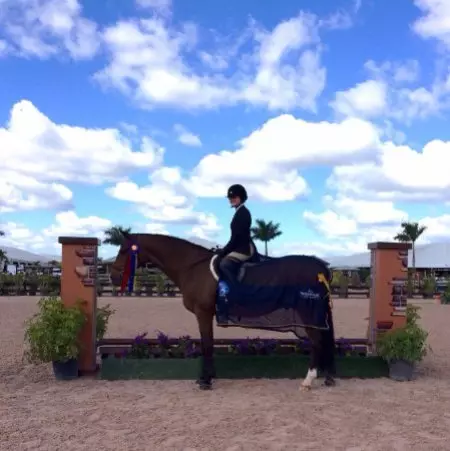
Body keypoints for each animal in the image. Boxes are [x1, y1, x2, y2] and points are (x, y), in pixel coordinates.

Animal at [108, 235, 334, 390]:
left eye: (124, 250)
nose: (113, 276)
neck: (192, 267)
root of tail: (321, 267)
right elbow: (207, 343)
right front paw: (208, 376)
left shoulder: (203, 312)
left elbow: (207, 344)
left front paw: (206, 380)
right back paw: (327, 377)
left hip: (308, 312)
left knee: (317, 342)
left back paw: (308, 381)